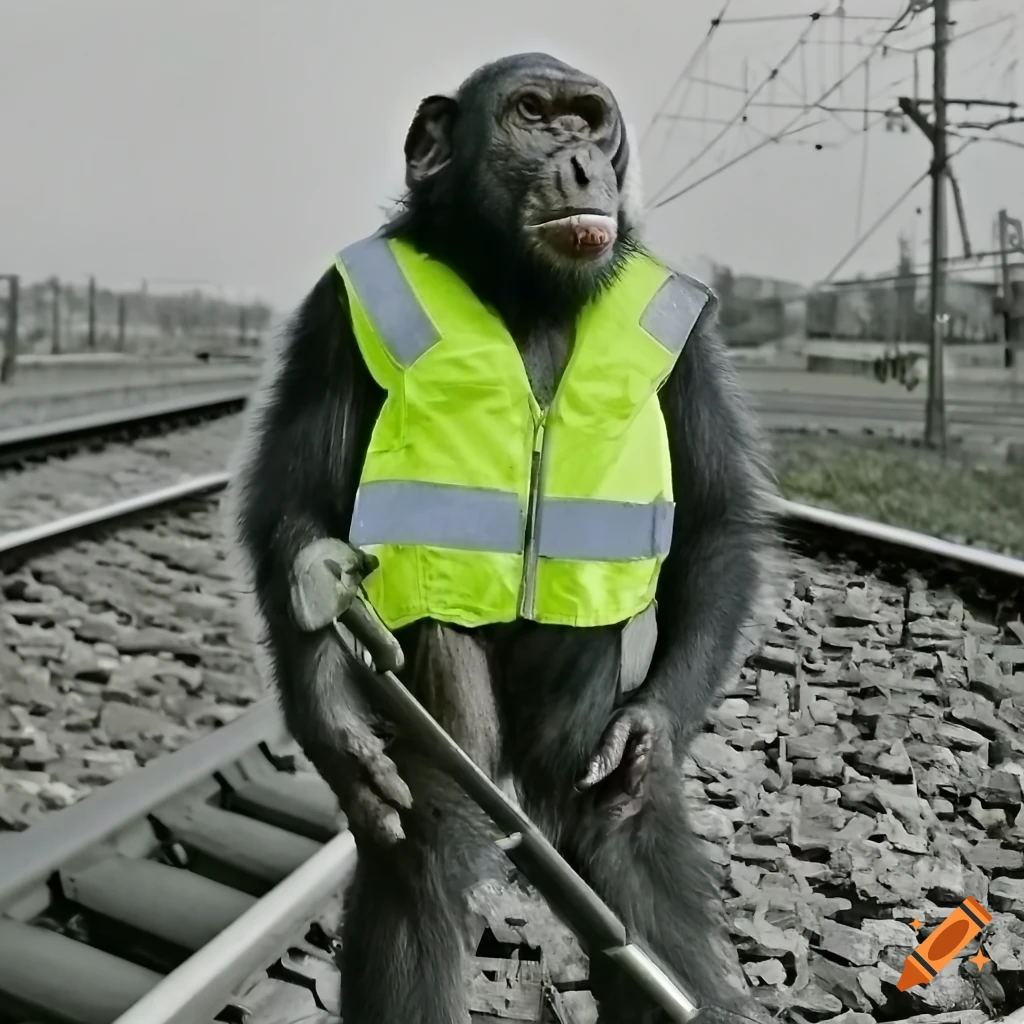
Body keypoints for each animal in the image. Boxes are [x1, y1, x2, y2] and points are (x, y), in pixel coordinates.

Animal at [230, 52, 776, 1024]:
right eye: (532, 115)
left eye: (588, 118)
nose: (581, 161)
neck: (520, 285)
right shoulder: (331, 317)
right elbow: (295, 505)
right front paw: (335, 723)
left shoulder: (698, 339)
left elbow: (718, 517)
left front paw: (650, 734)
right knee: (431, 834)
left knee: (614, 835)